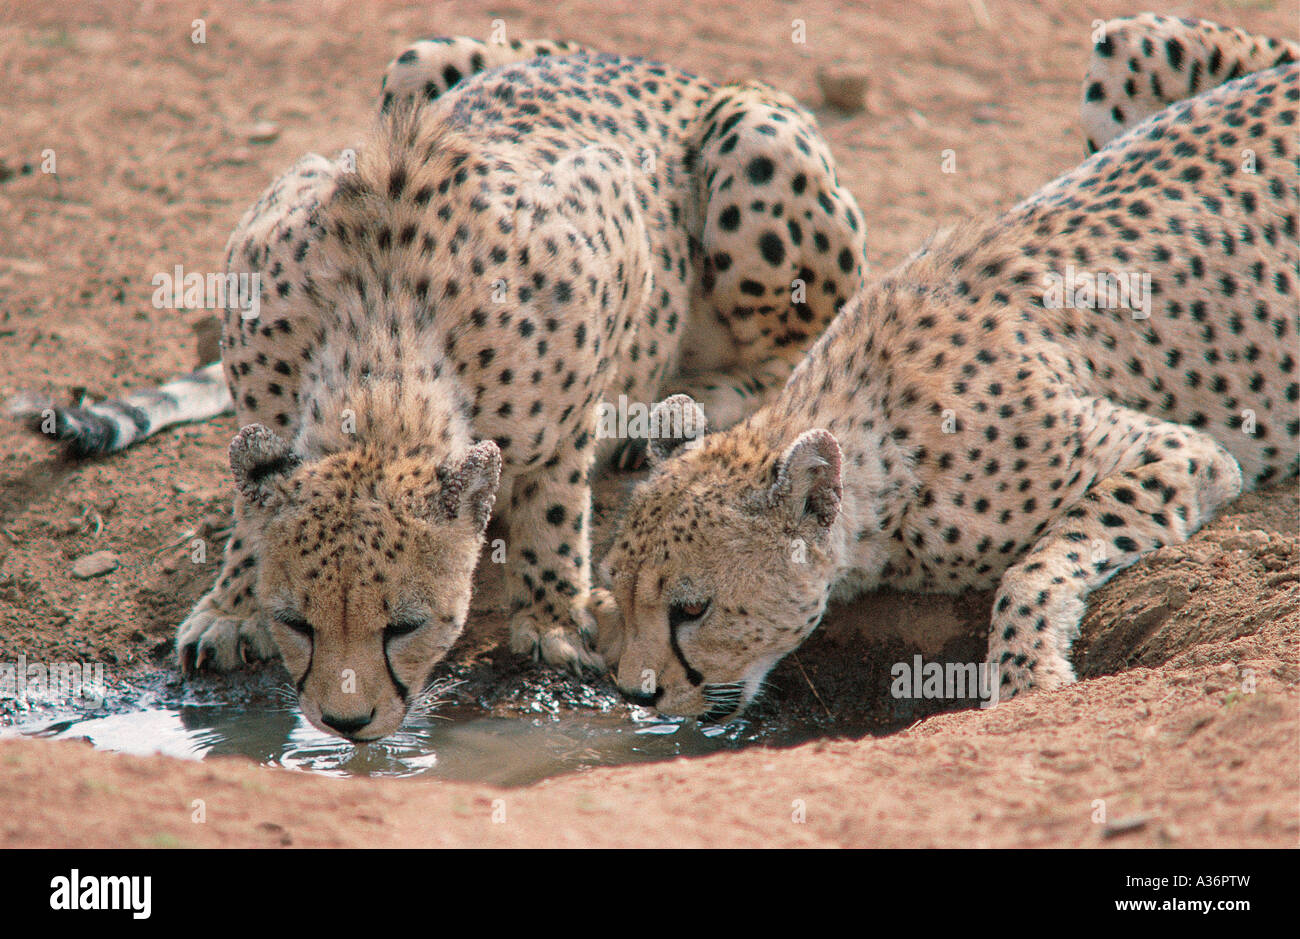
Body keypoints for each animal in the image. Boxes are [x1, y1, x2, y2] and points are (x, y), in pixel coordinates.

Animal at [10, 36, 867, 740]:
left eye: (404, 625)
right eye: (299, 624)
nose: (346, 723)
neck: (383, 349)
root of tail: (662, 64)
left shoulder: (606, 234)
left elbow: (556, 491)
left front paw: (552, 614)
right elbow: (256, 503)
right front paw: (230, 602)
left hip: (758, 143)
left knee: (796, 344)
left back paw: (672, 409)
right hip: (415, 59)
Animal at [599, 38, 1298, 721]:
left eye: (692, 608)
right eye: (619, 589)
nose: (636, 693)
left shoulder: (1183, 451)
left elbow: (1039, 563)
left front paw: (1024, 672)